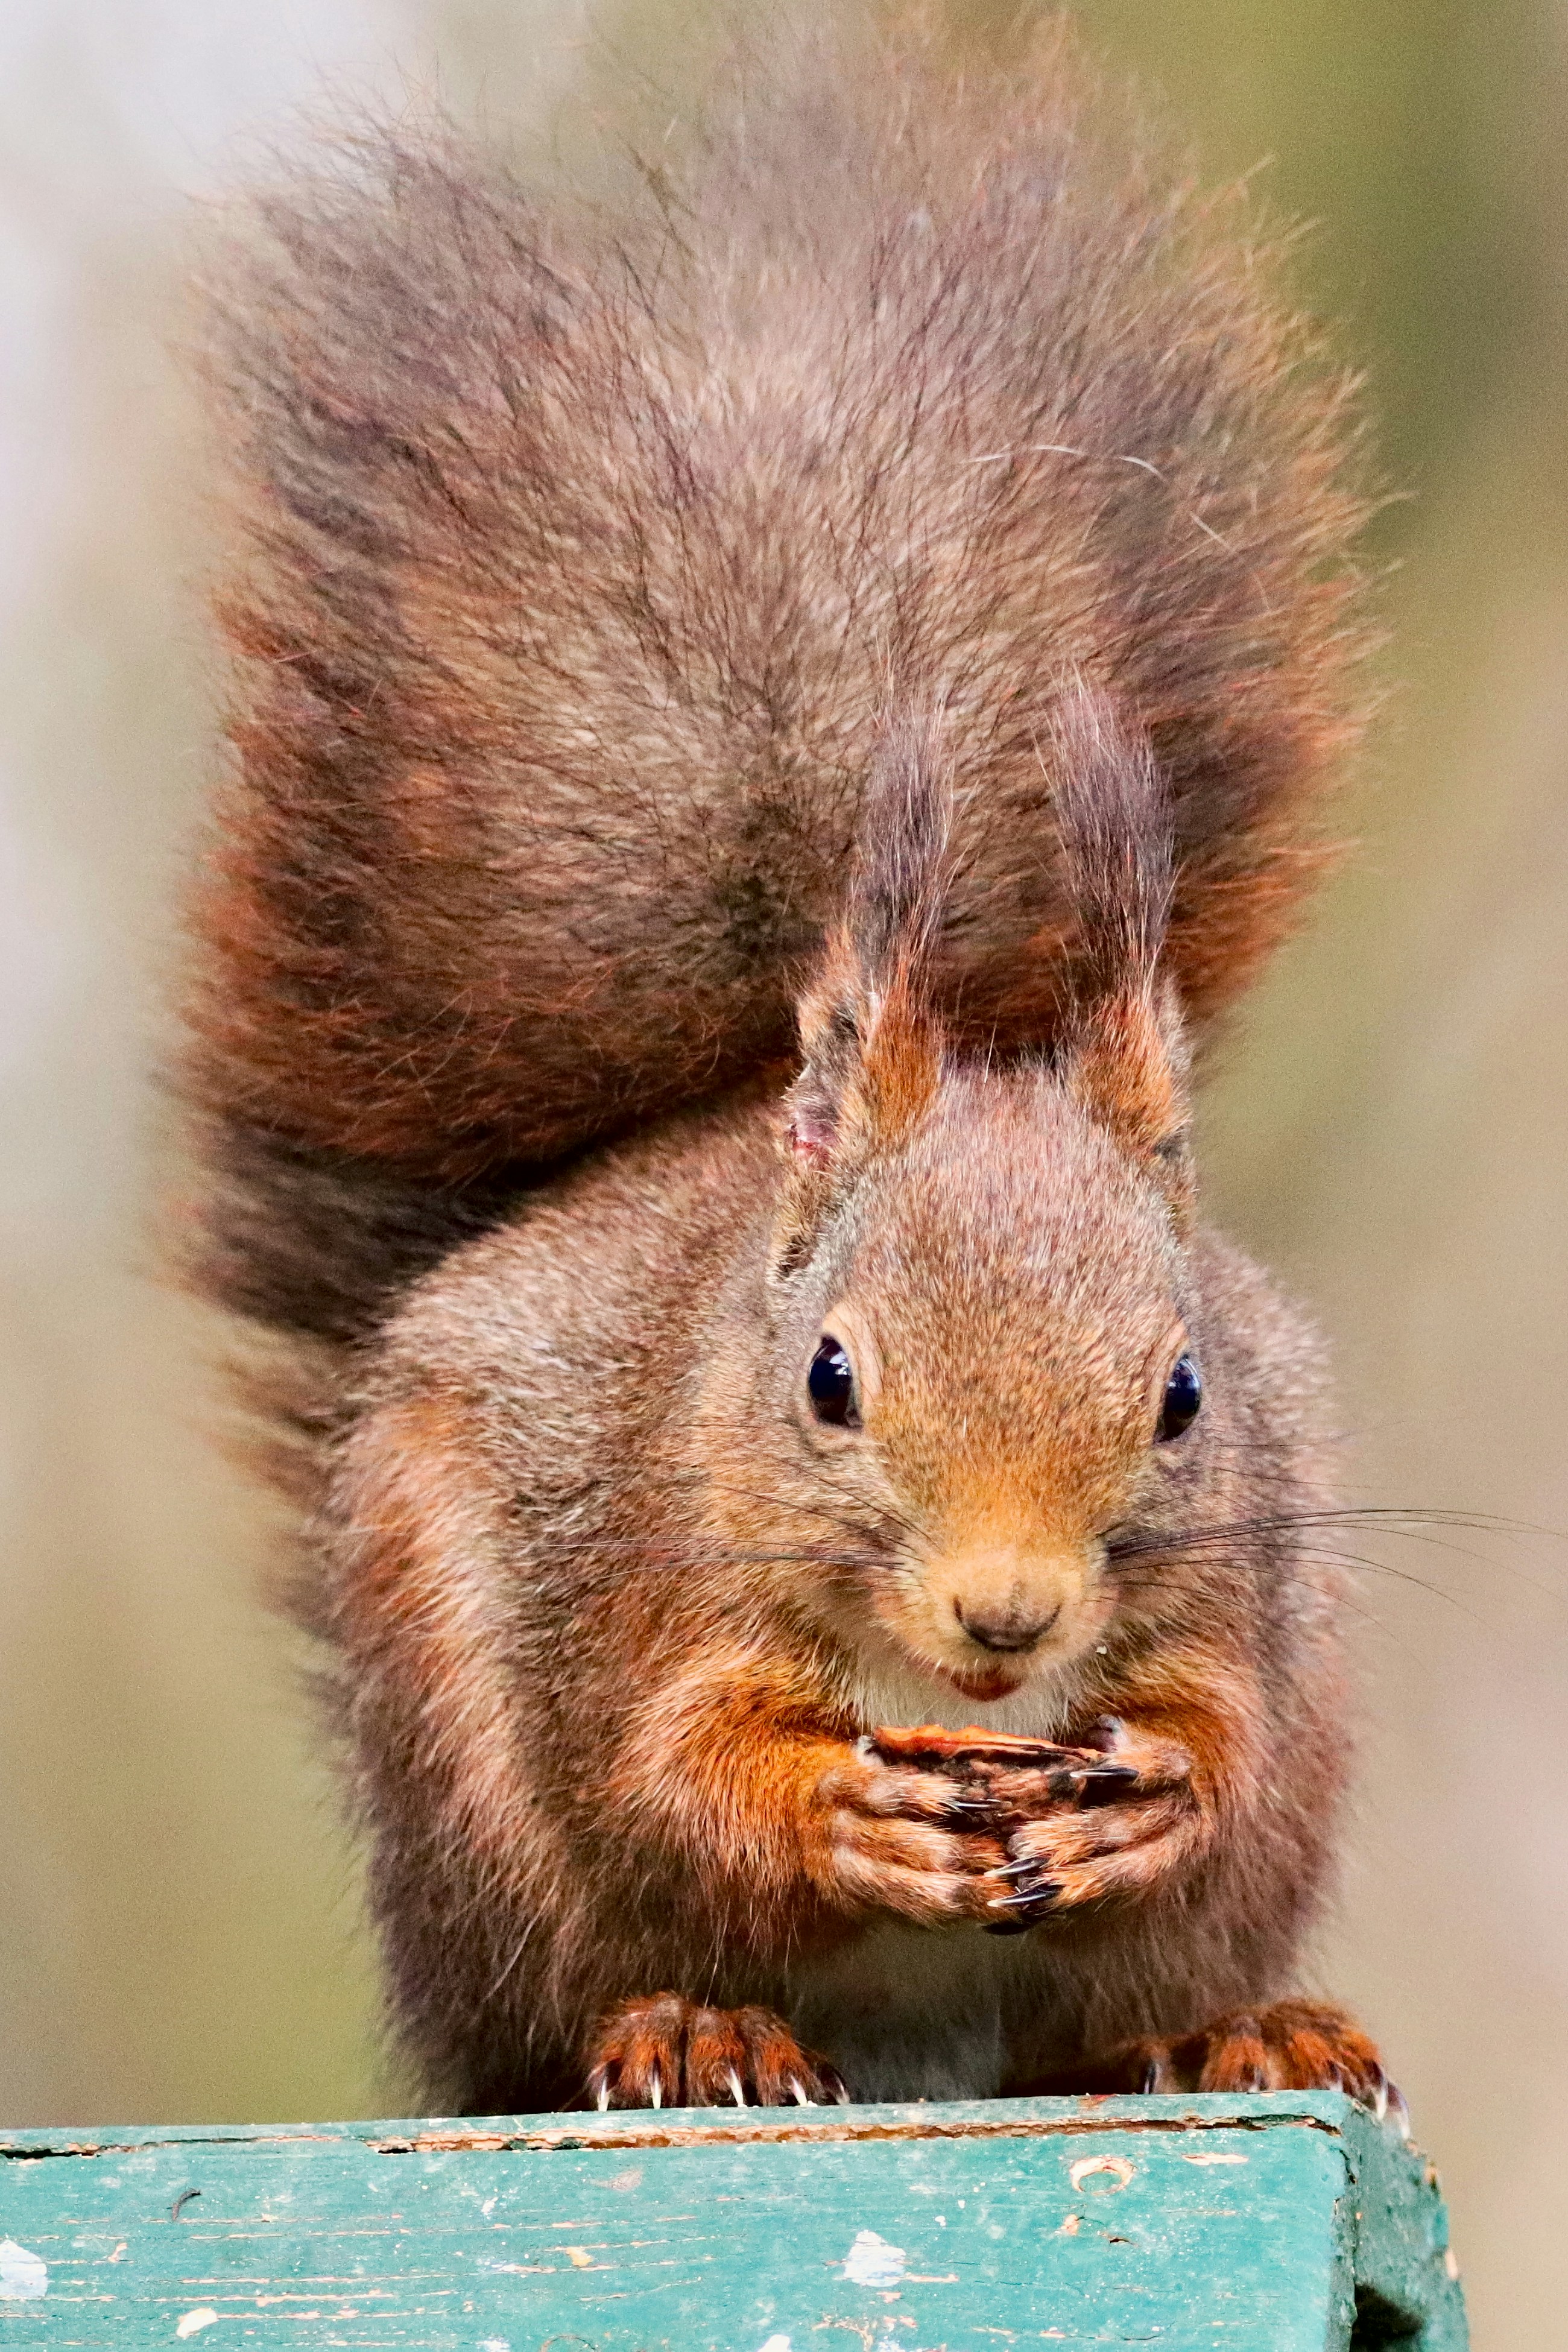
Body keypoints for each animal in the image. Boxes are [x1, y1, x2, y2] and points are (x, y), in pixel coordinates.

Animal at [181, 12, 1398, 2118]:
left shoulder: (1247, 1575)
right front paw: (835, 1815)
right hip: (476, 1822)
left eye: (1181, 1395)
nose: (1004, 1617)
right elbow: (672, 1771)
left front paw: (1158, 1788)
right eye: (827, 1376)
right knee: (580, 1983)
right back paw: (691, 2027)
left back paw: (1237, 2022)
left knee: (1128, 2000)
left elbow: (1219, 1736)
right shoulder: (641, 1587)